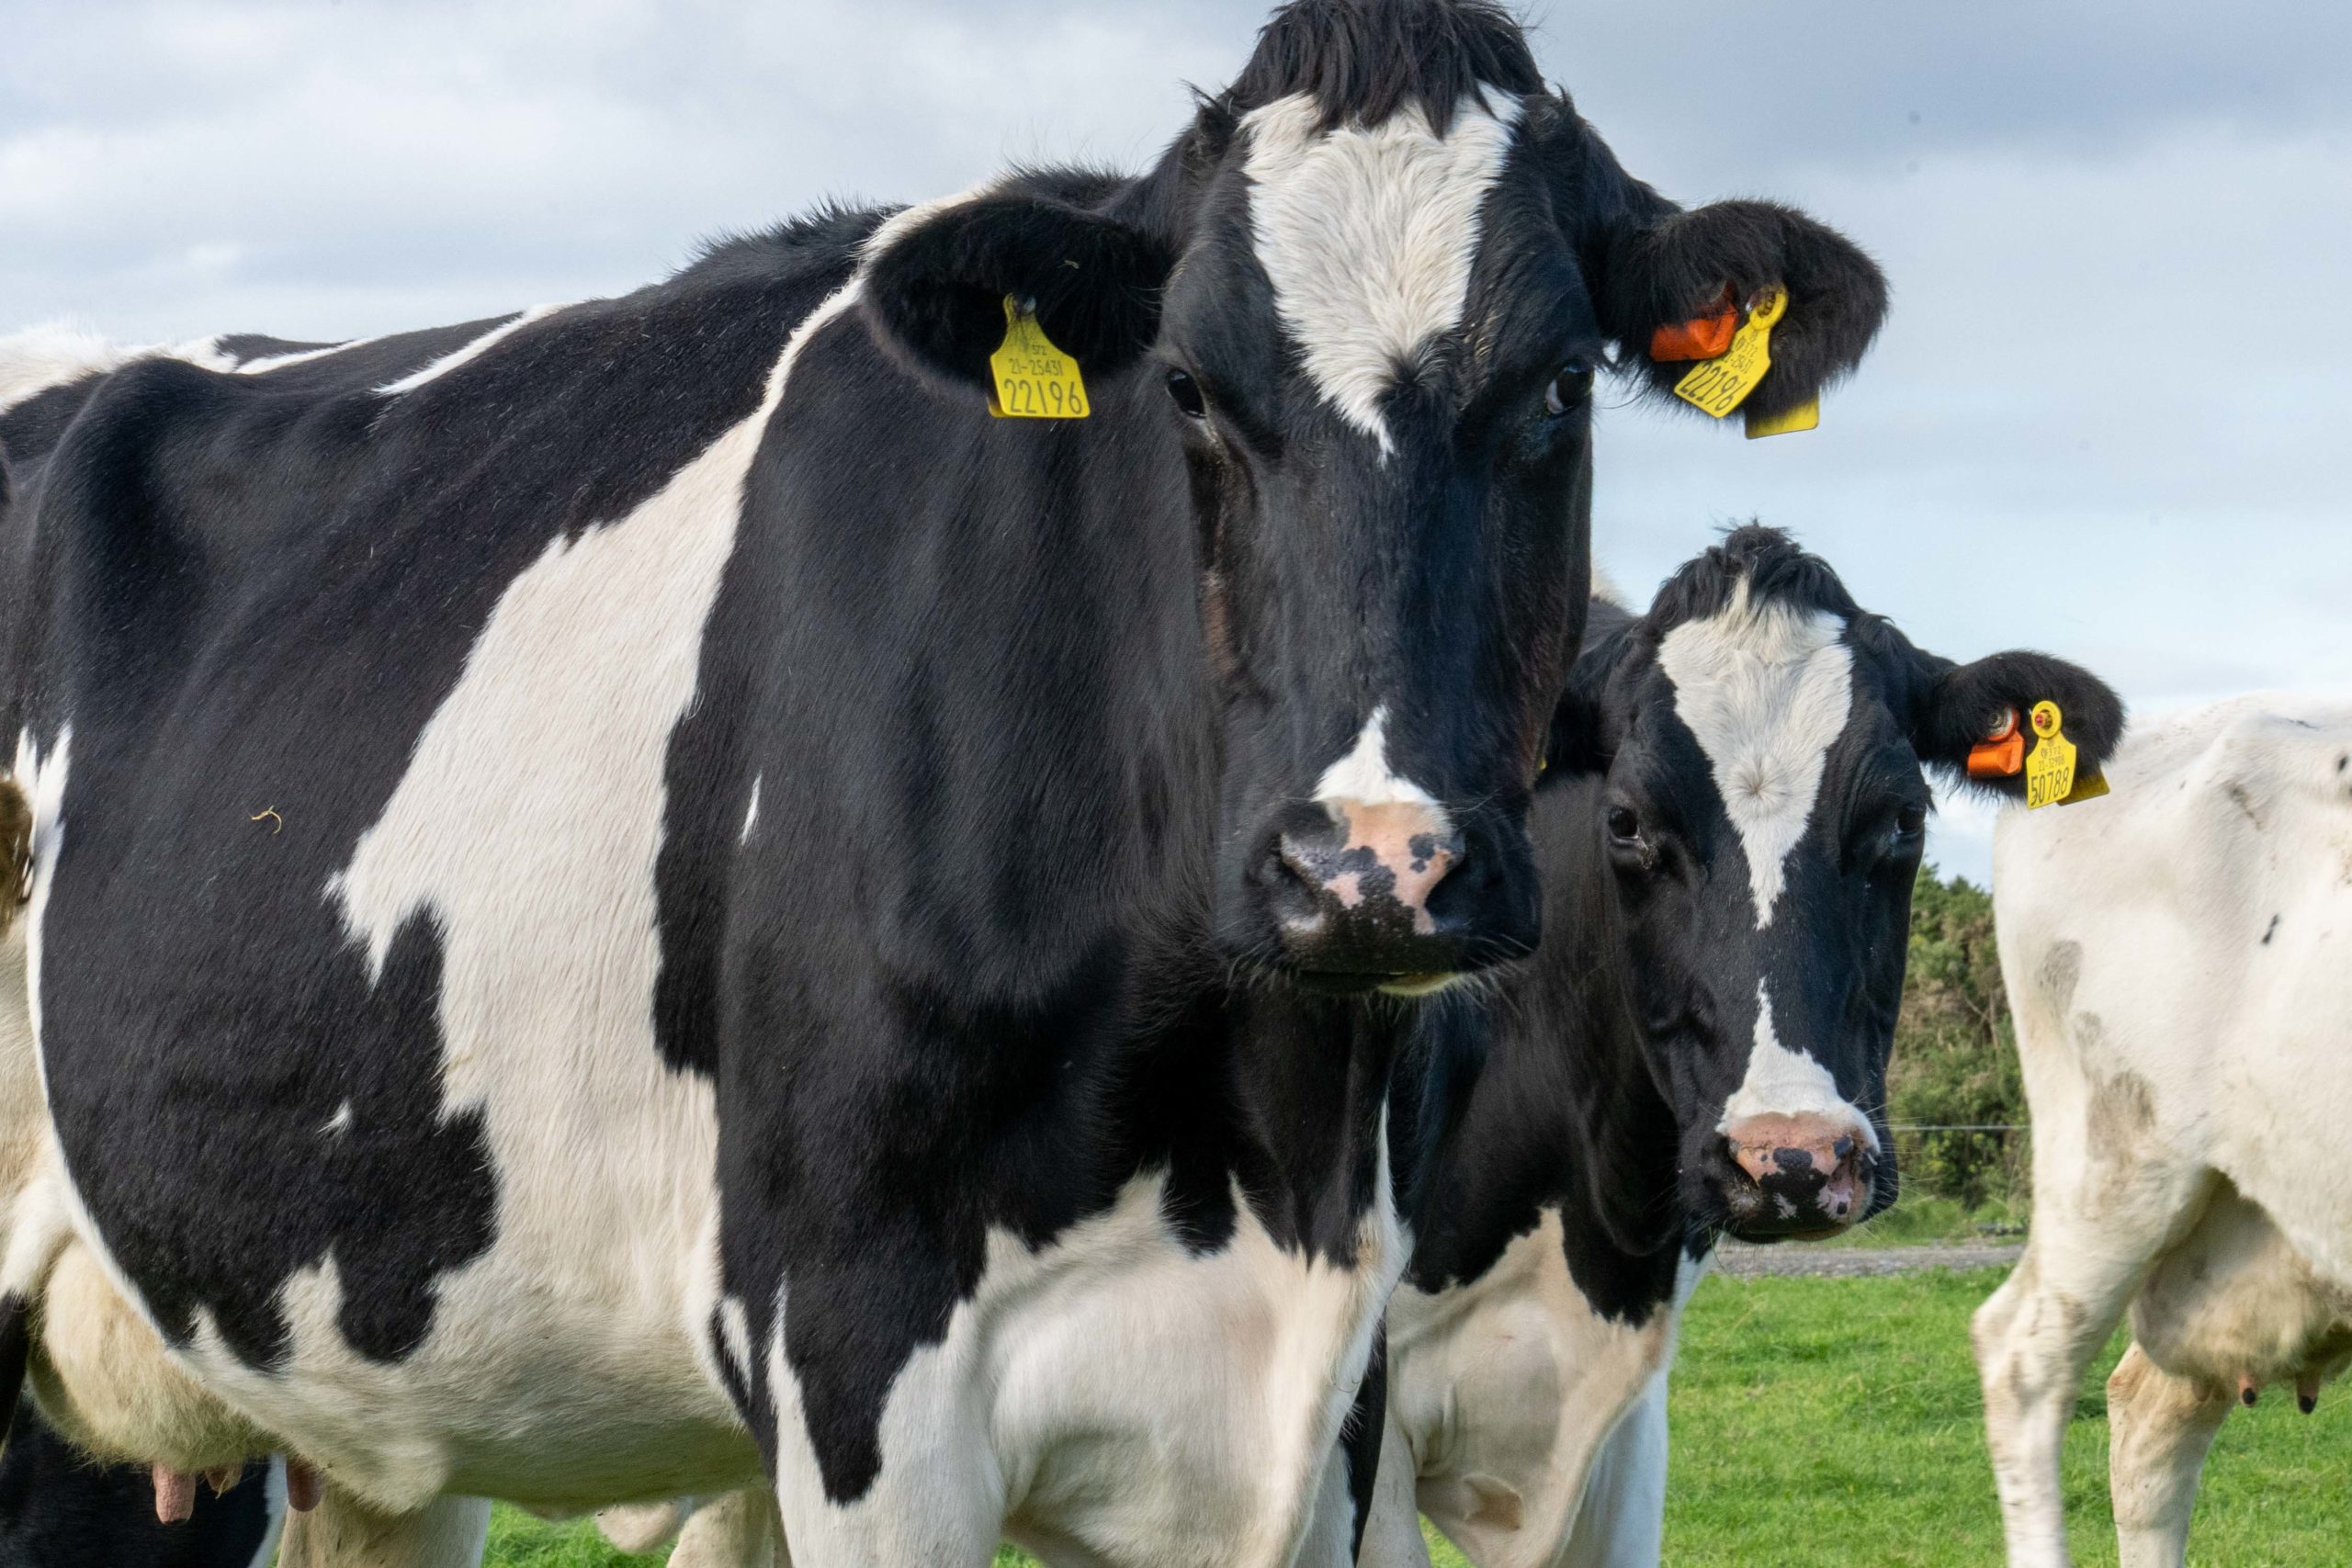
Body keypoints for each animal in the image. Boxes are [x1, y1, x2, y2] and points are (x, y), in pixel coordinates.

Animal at [0, 3, 1887, 1564]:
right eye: (1186, 385)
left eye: (1563, 384)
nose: (1368, 867)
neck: (1255, 1135)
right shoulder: (861, 1364)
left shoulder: (1328, 1408)